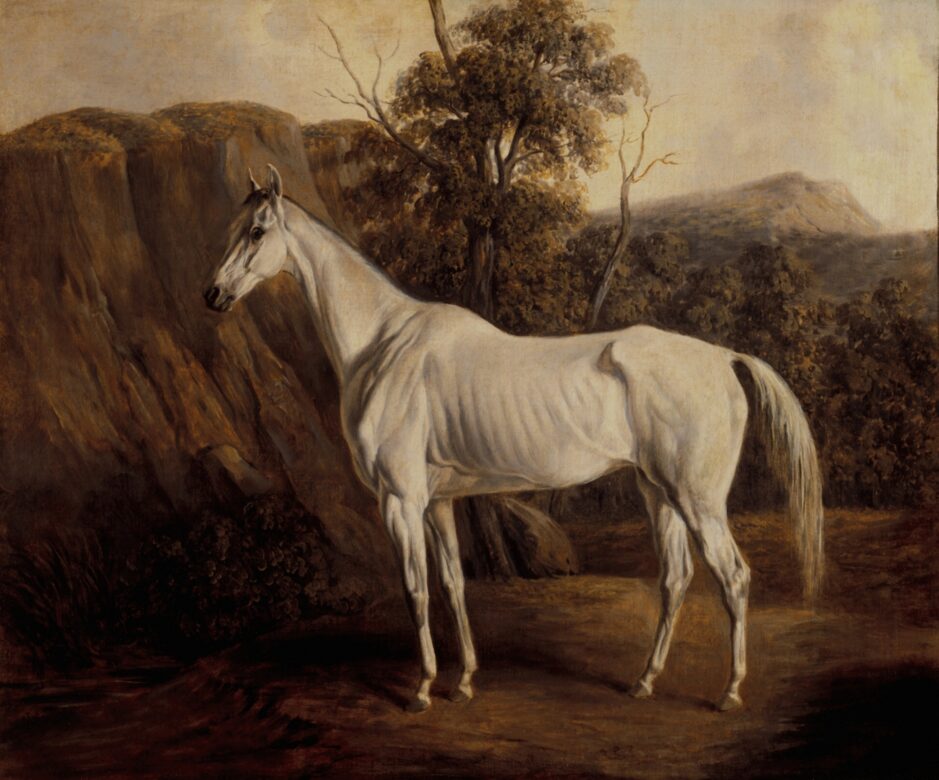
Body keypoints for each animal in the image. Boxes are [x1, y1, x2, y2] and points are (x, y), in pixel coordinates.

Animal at [204, 165, 824, 713]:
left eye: (256, 231)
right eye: (232, 227)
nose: (213, 295)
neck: (384, 343)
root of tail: (723, 356)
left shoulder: (400, 500)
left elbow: (415, 589)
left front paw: (423, 689)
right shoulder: (438, 503)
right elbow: (453, 584)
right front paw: (463, 682)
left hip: (699, 501)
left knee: (733, 578)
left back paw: (730, 693)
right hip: (659, 494)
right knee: (675, 579)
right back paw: (644, 683)